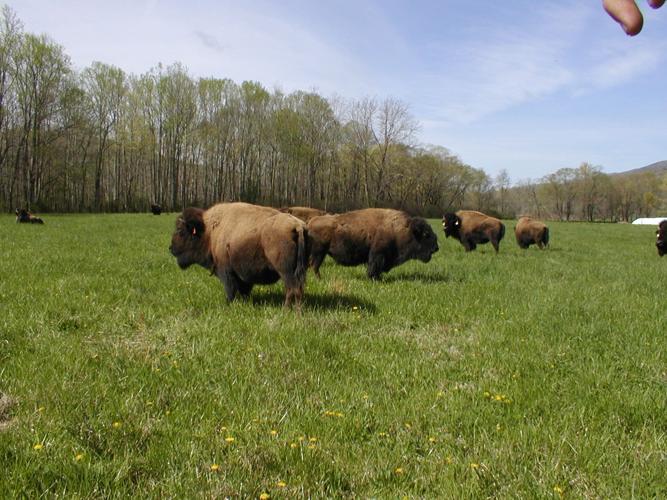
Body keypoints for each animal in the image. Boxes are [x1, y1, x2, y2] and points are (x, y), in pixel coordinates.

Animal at [170, 202, 308, 308]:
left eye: (181, 231)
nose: (171, 248)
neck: (209, 232)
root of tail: (297, 225)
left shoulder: (226, 271)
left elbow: (231, 289)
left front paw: (228, 303)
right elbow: (244, 290)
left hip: (285, 271)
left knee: (292, 289)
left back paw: (287, 310)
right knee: (297, 289)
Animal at [307, 208, 439, 280]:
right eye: (426, 234)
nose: (436, 248)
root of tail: (309, 223)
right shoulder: (378, 254)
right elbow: (374, 266)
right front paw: (374, 278)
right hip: (319, 252)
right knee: (314, 265)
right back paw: (319, 279)